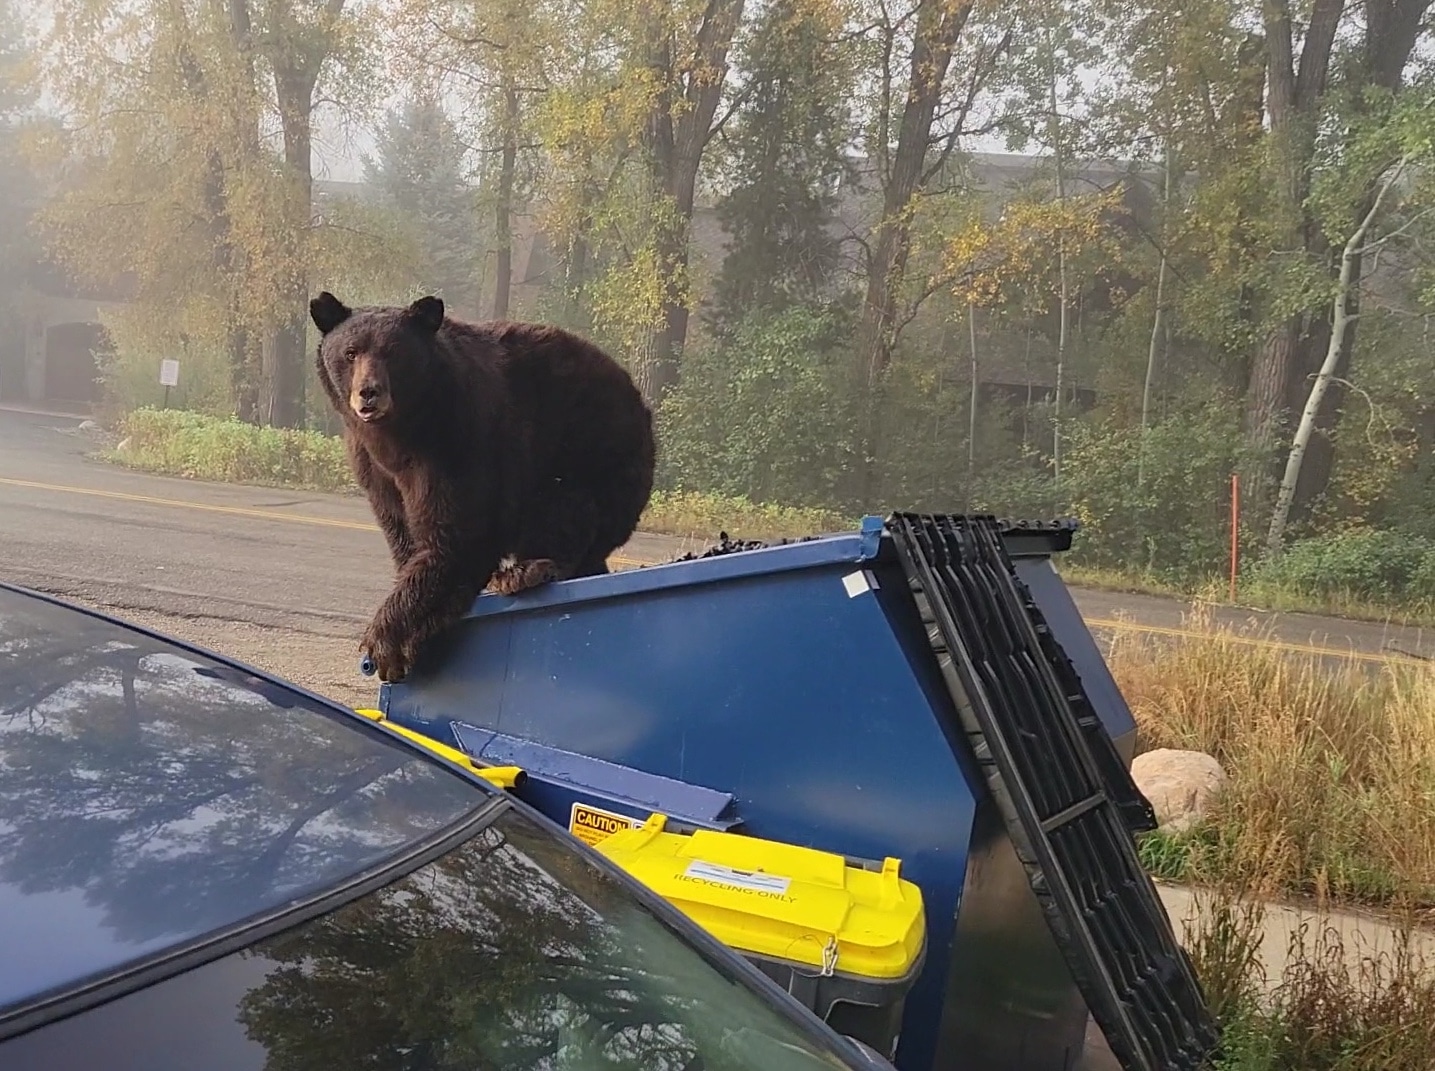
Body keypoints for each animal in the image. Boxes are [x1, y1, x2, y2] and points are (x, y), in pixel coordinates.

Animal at [309, 291, 656, 683]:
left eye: (394, 351)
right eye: (351, 352)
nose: (369, 393)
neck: (401, 434)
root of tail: (643, 408)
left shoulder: (460, 440)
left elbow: (456, 536)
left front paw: (386, 642)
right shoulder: (374, 469)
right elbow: (403, 531)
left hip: (591, 452)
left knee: (564, 506)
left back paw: (525, 570)